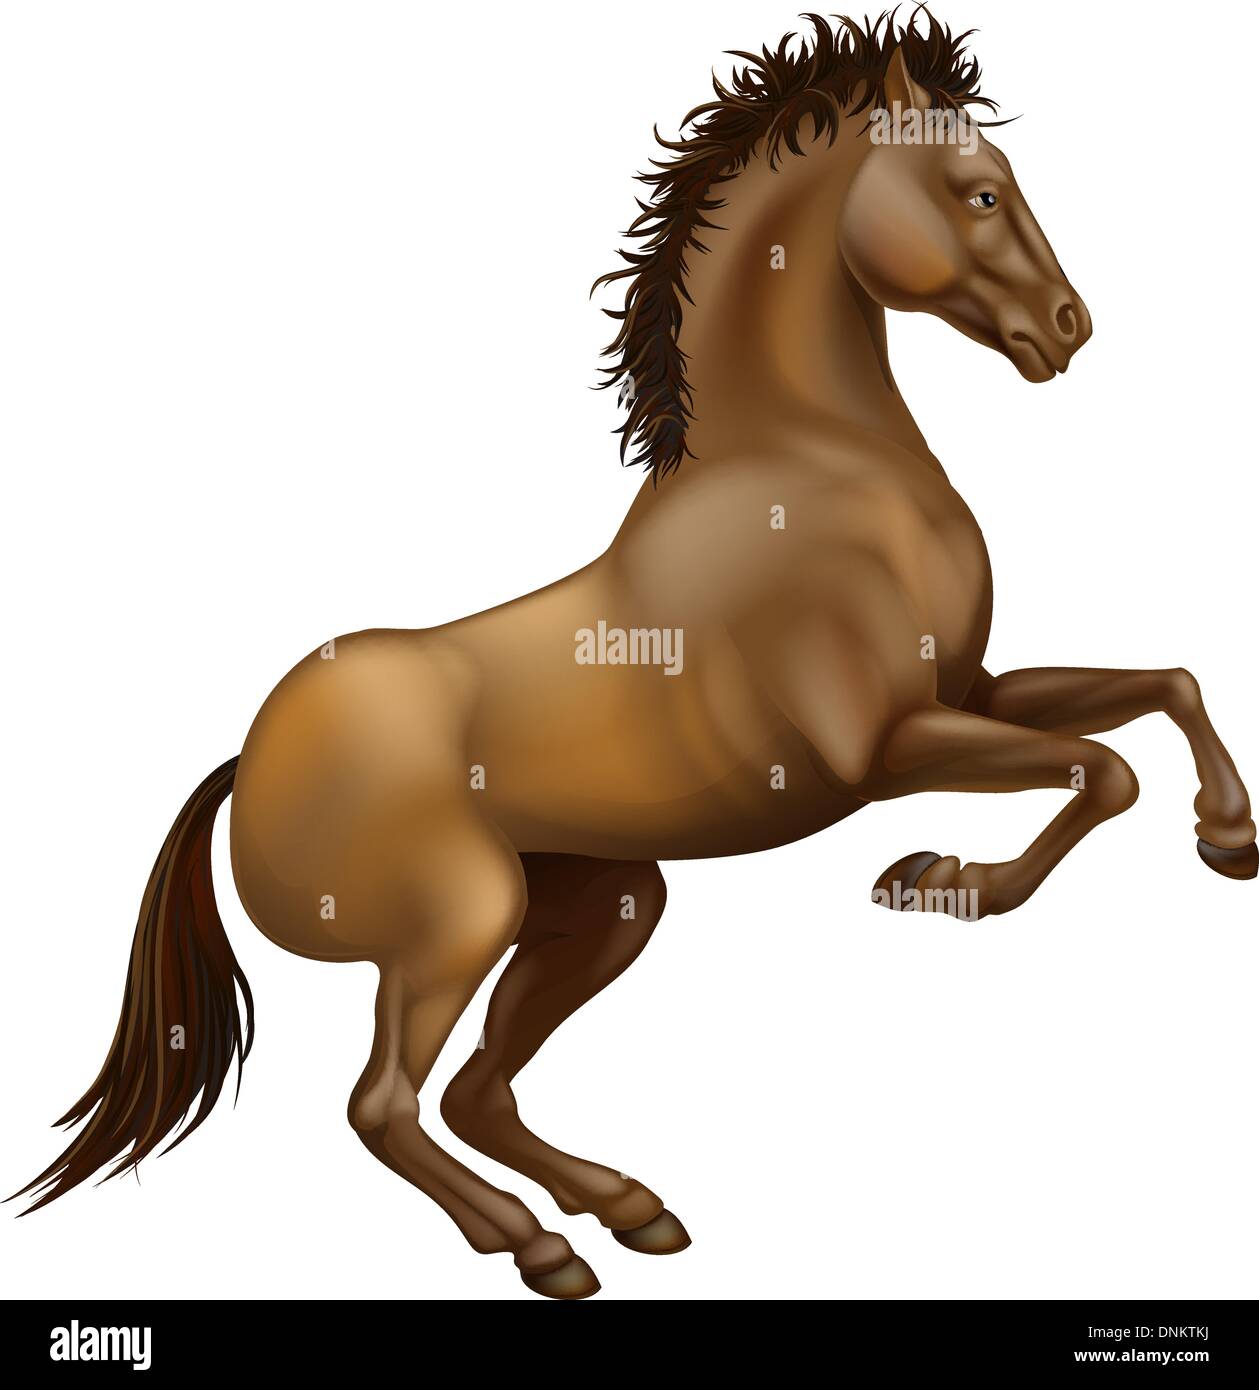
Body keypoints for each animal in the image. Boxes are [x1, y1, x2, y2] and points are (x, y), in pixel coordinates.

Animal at [15, 13, 1256, 1300]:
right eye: (979, 190)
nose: (1066, 328)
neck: (815, 473)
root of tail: (242, 764)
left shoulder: (974, 690)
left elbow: (1163, 688)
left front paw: (1226, 839)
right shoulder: (878, 749)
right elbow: (1099, 769)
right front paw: (936, 880)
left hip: (606, 900)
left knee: (475, 1091)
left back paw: (630, 1208)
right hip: (456, 923)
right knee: (387, 1104)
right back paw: (542, 1245)